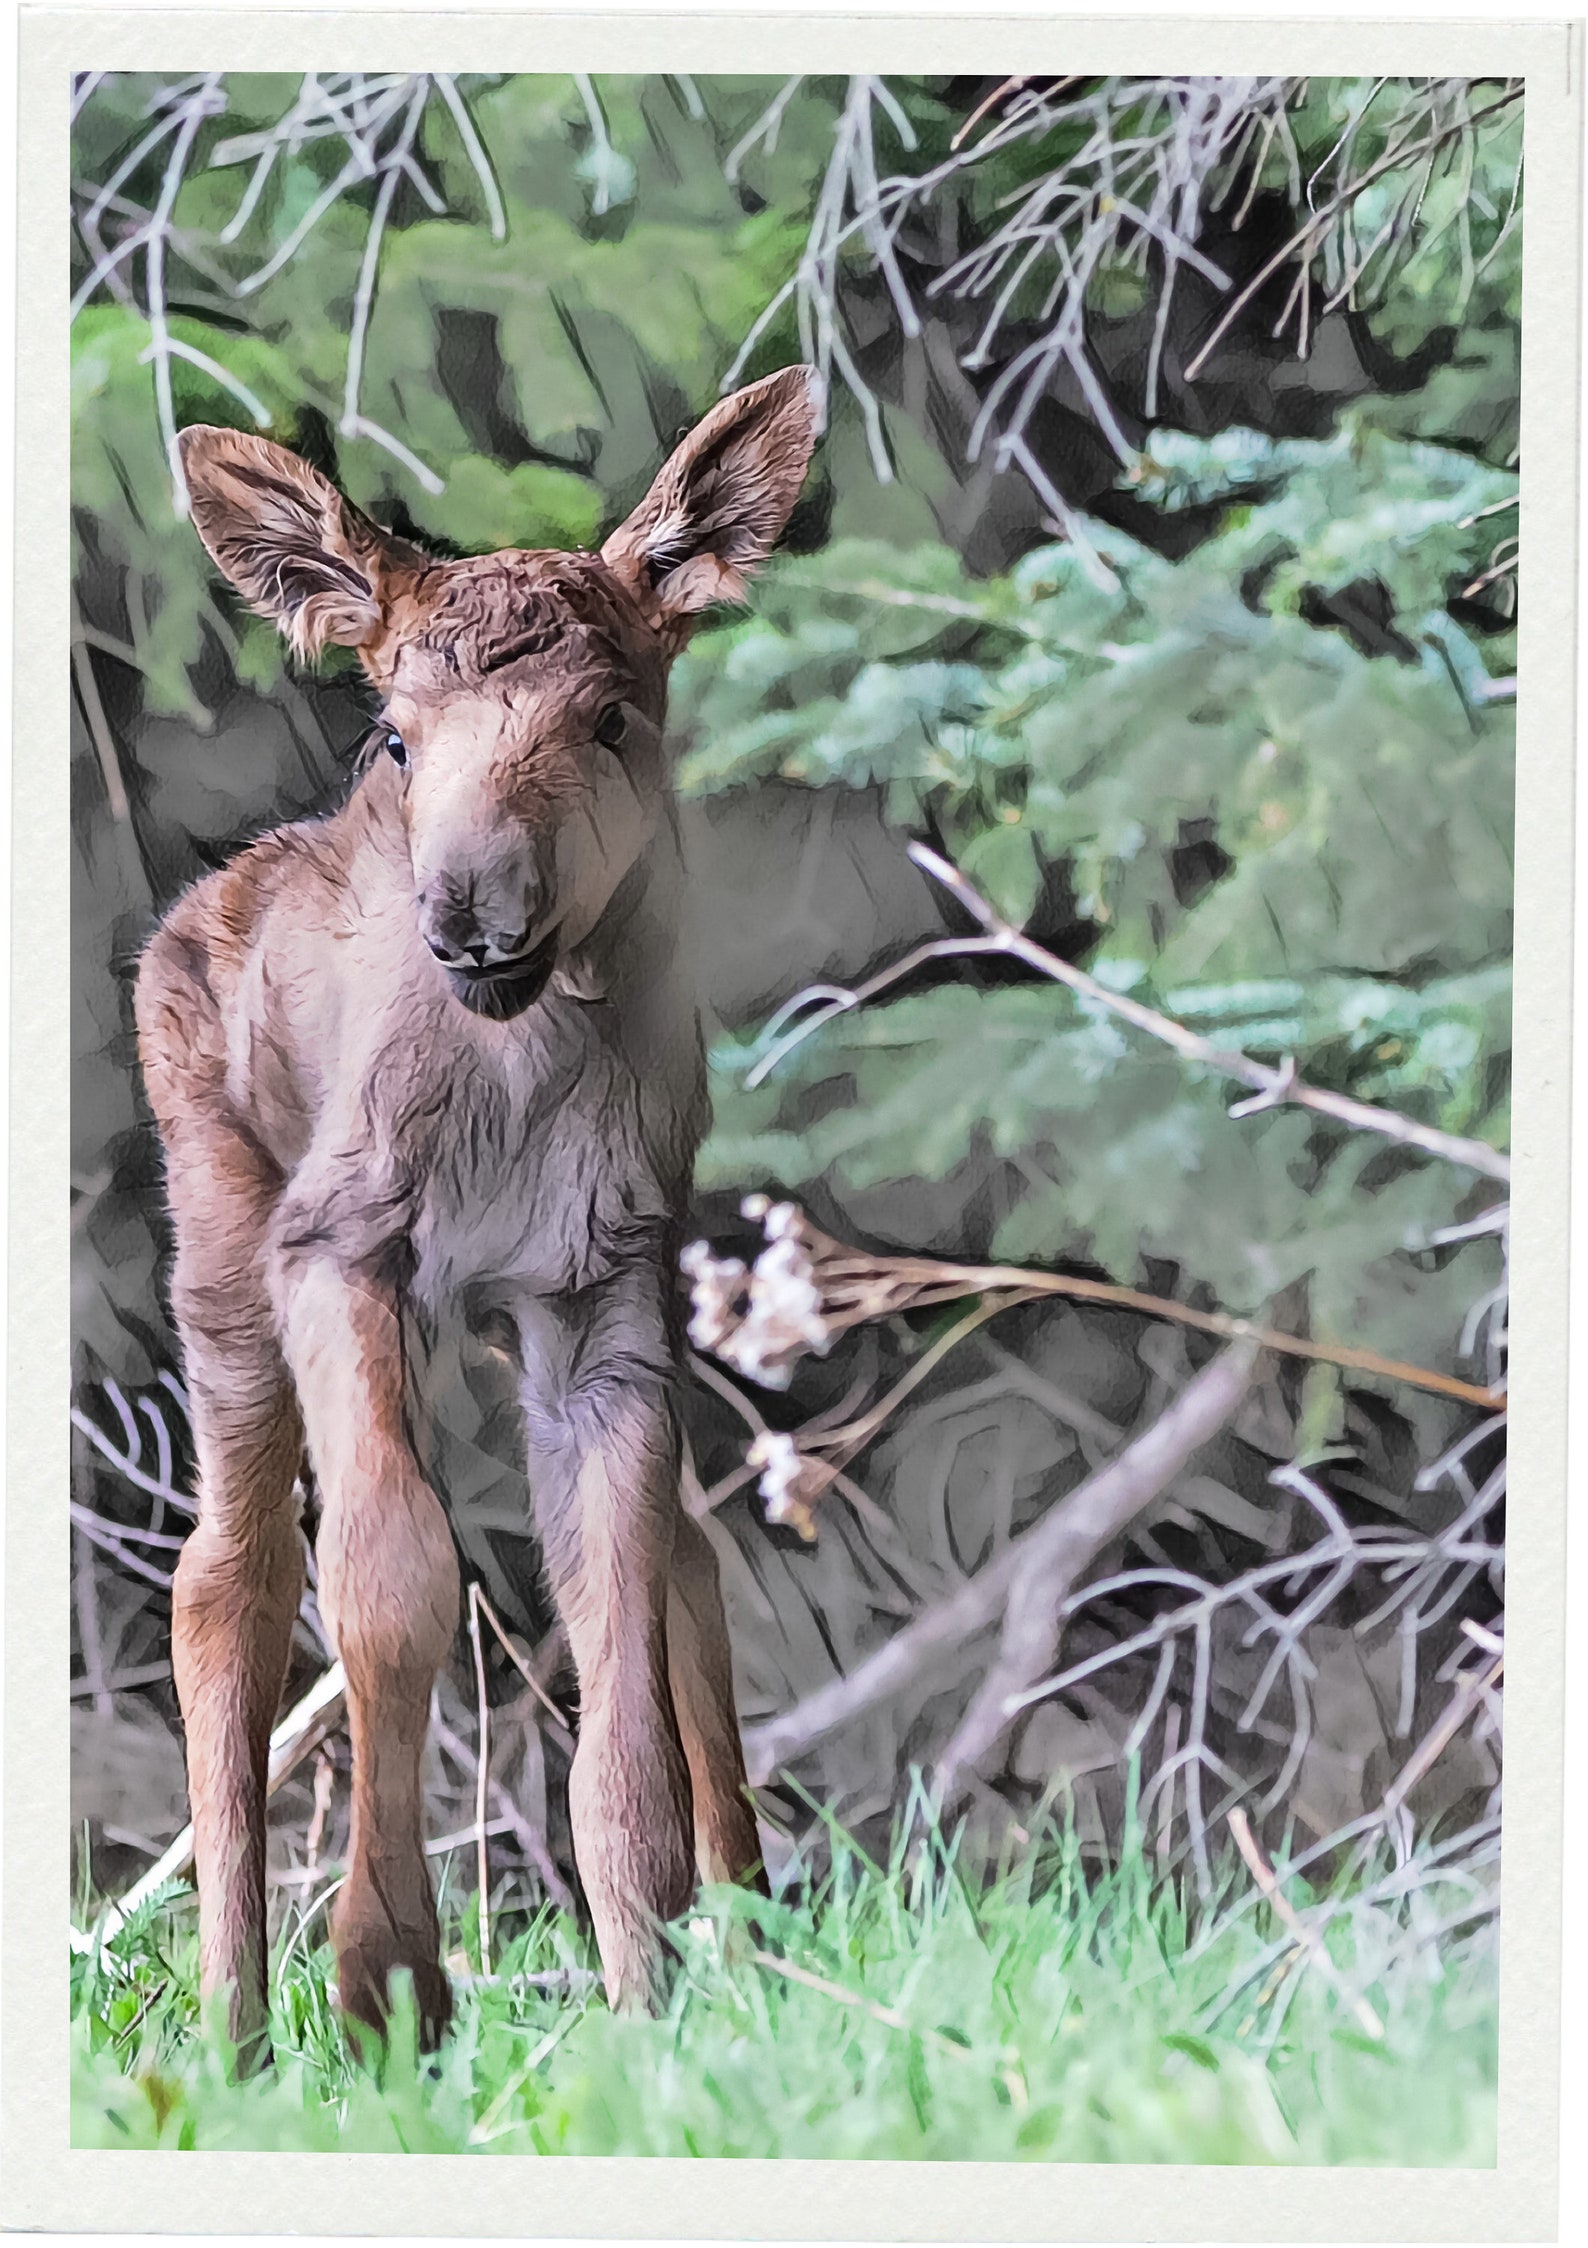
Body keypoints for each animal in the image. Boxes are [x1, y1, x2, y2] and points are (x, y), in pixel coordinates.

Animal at [134, 366, 822, 2068]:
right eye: (395, 729)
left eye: (610, 716)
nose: (472, 913)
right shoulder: (340, 1245)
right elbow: (390, 1577)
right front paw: (384, 1976)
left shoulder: (600, 1296)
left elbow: (619, 1641)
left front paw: (652, 1981)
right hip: (222, 1254)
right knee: (227, 1577)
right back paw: (232, 2025)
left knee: (693, 1558)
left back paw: (748, 1925)